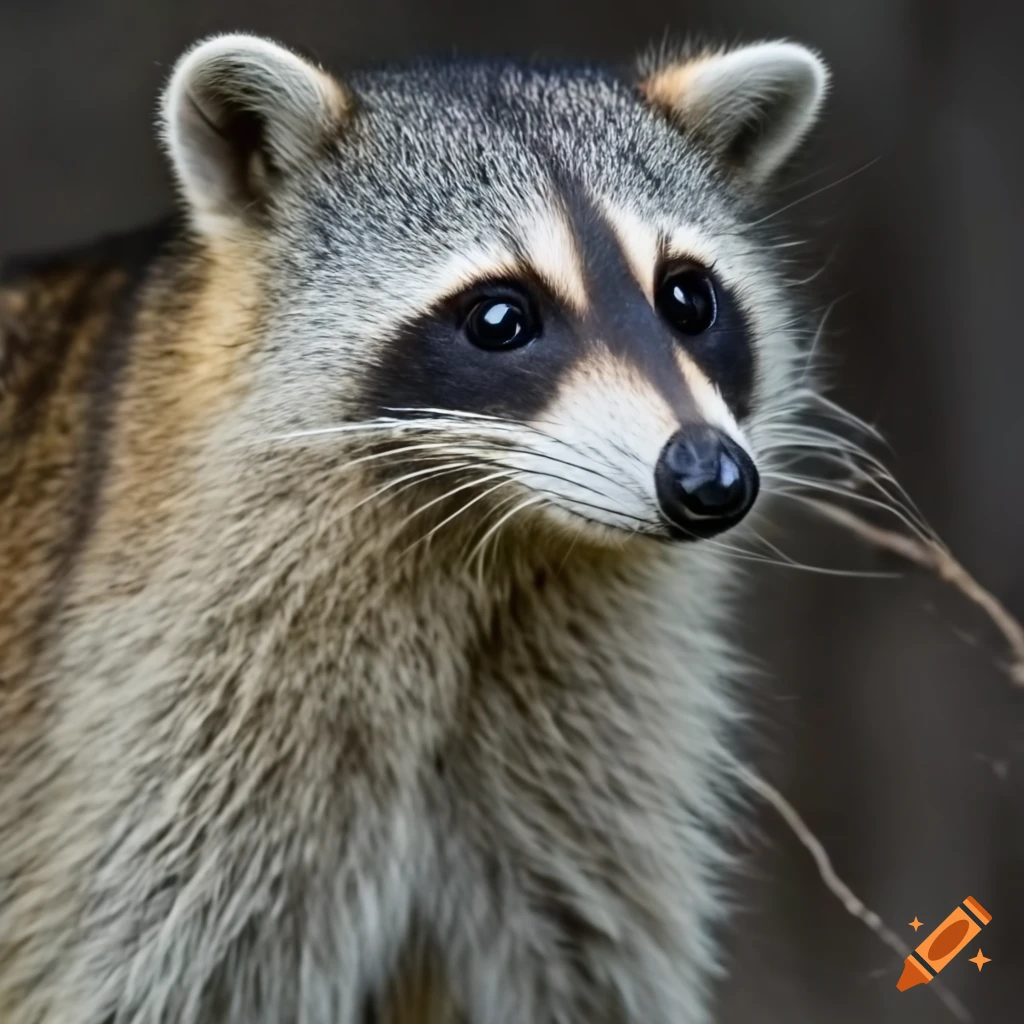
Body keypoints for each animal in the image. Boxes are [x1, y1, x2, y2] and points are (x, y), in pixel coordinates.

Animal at [0, 32, 829, 1024]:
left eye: (688, 299)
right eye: (500, 315)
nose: (708, 475)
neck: (497, 544)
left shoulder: (586, 757)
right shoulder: (166, 741)